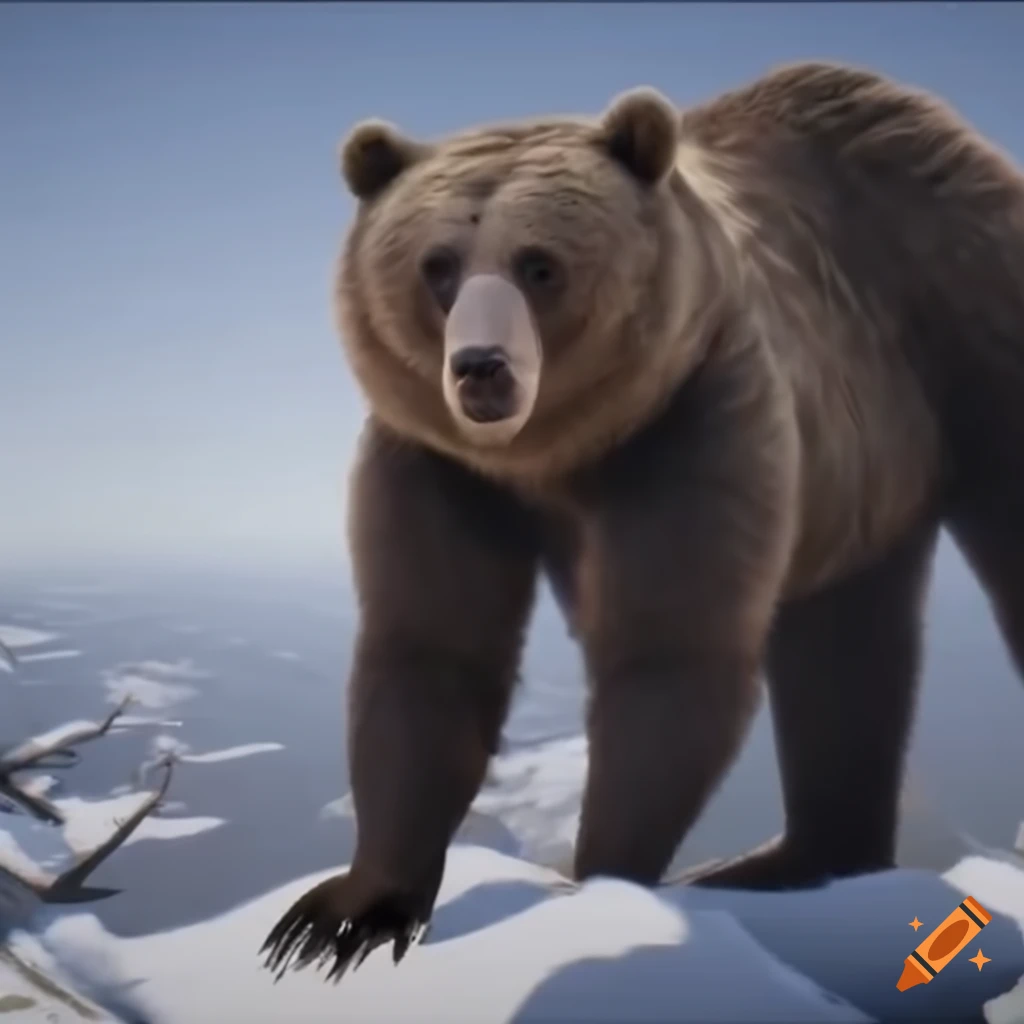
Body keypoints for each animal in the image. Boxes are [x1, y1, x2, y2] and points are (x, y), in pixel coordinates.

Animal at [262, 60, 1024, 982]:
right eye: (436, 265)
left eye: (540, 265)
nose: (481, 368)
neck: (551, 453)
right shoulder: (436, 462)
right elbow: (430, 648)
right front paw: (343, 916)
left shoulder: (697, 409)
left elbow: (669, 652)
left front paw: (592, 890)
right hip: (861, 465)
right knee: (845, 642)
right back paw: (799, 858)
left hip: (967, 334)